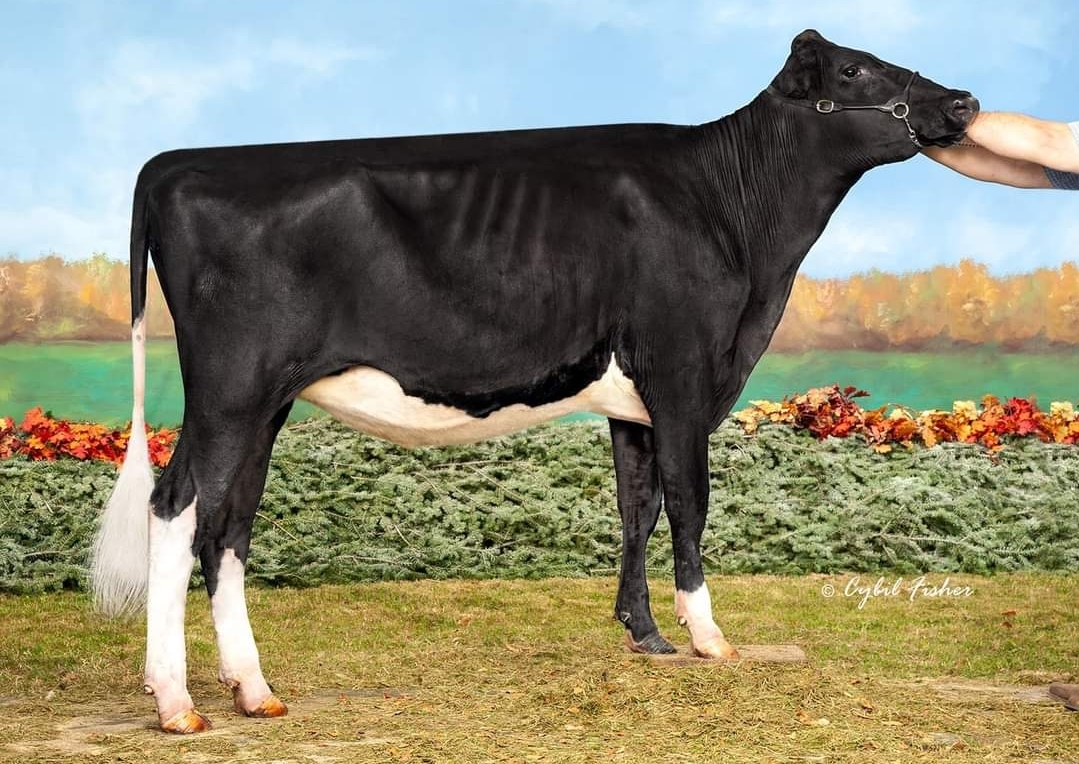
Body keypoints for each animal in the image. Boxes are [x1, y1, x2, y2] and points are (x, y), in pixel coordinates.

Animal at [90, 29, 977, 733]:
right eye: (855, 70)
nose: (963, 100)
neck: (734, 221)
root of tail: (176, 163)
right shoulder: (683, 373)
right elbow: (689, 503)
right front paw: (707, 637)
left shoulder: (634, 401)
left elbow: (637, 507)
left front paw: (644, 633)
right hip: (230, 389)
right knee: (175, 507)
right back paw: (177, 703)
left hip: (264, 402)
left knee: (228, 525)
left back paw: (253, 690)